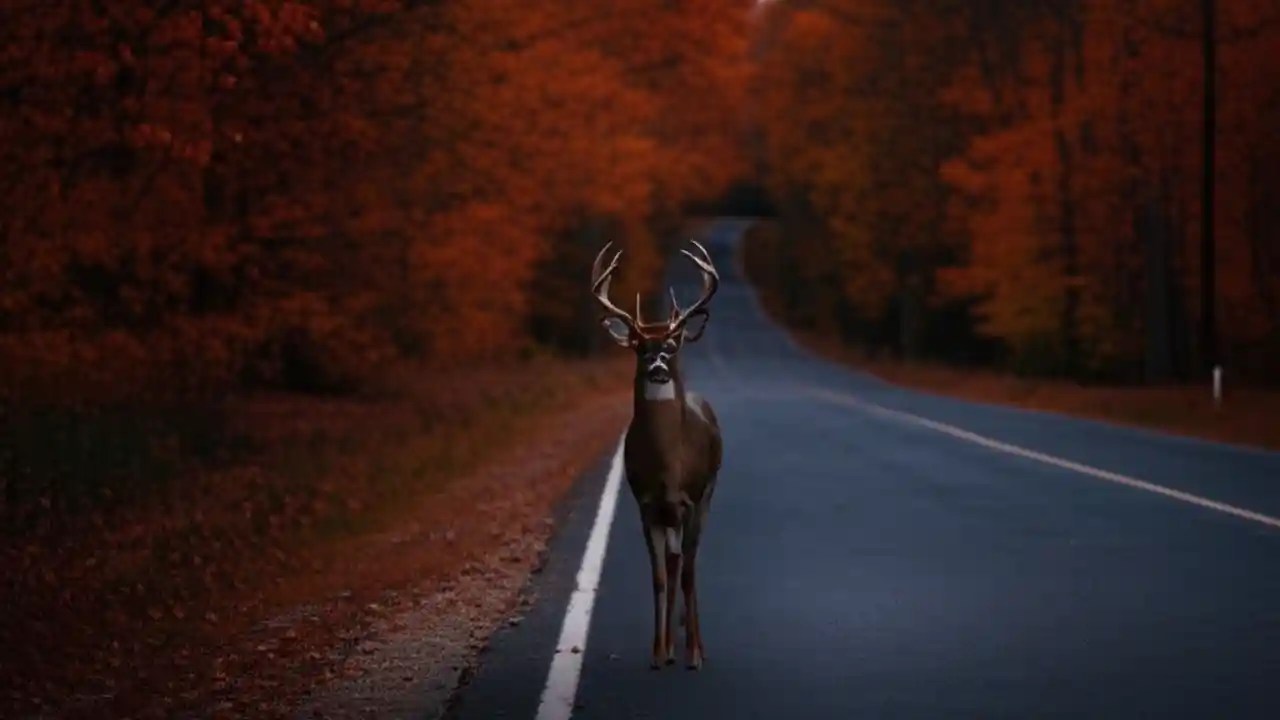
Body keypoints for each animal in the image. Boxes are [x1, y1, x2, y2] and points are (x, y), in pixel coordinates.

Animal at [590, 239, 723, 671]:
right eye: (640, 348)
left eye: (671, 345)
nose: (659, 369)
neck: (669, 468)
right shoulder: (646, 504)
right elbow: (659, 576)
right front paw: (658, 651)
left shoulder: (691, 500)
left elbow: (688, 573)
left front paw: (694, 654)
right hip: (668, 515)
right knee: (675, 560)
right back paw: (672, 645)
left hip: (709, 494)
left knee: (689, 562)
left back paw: (695, 646)